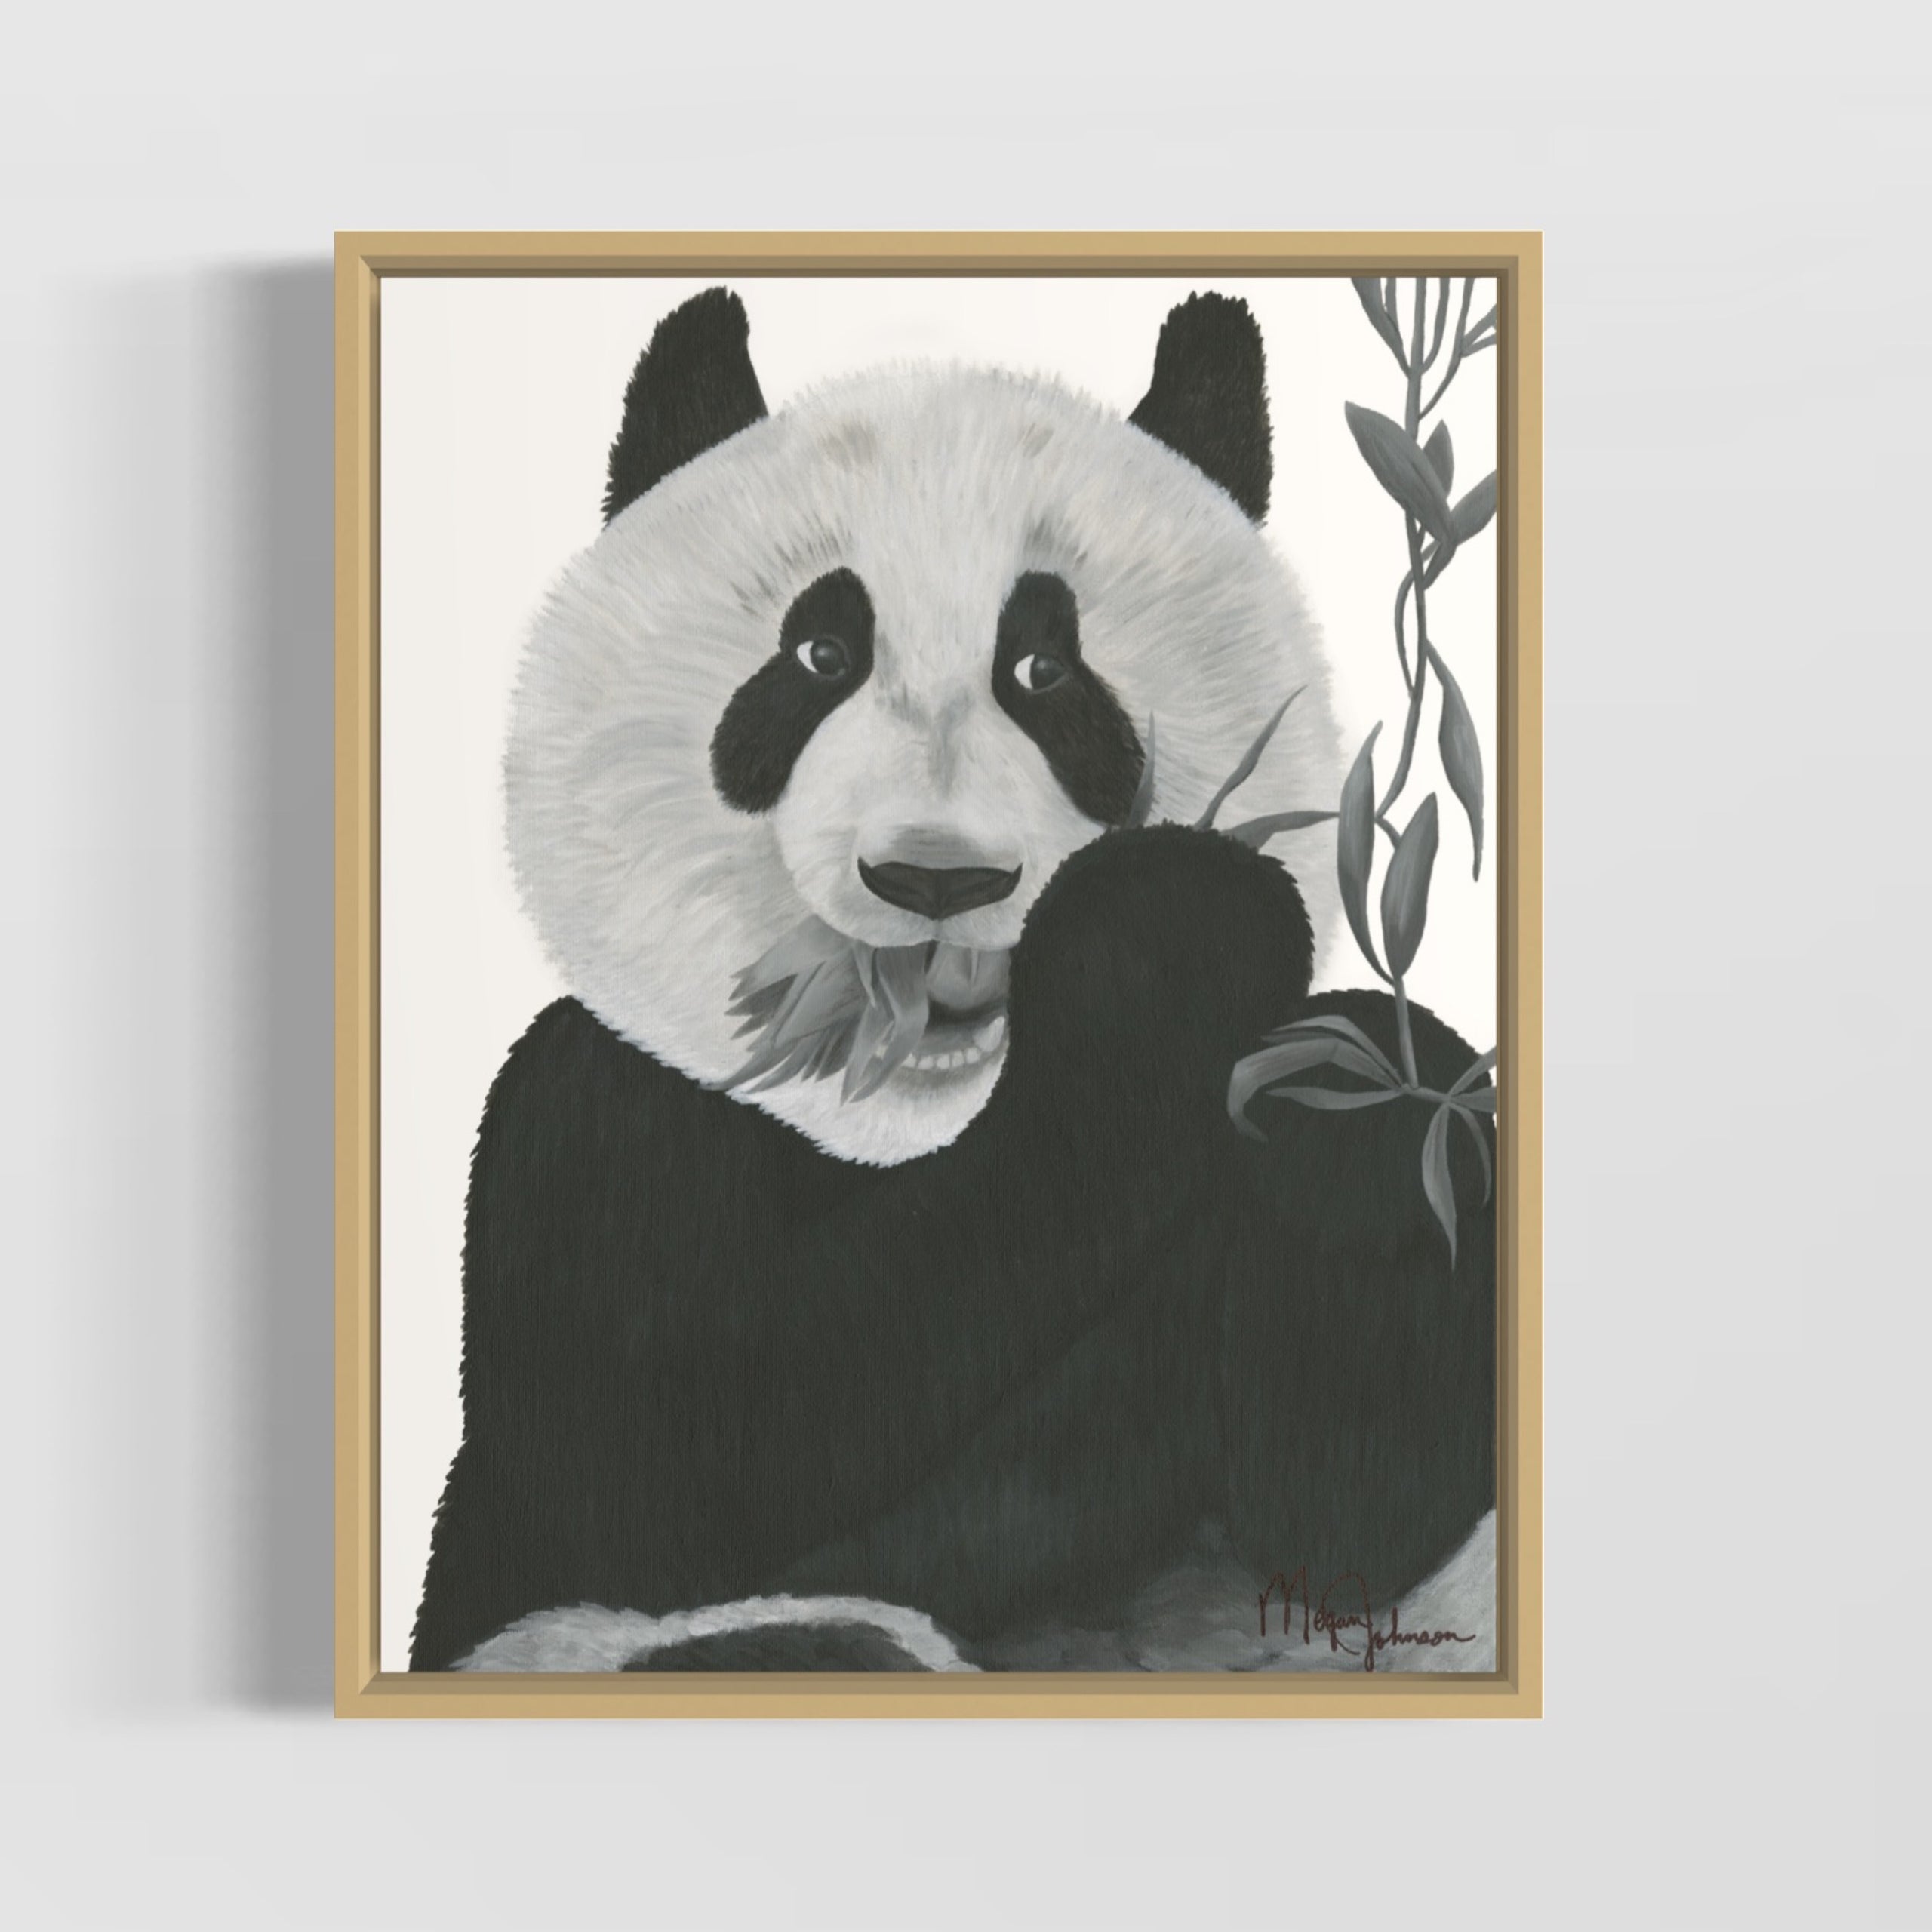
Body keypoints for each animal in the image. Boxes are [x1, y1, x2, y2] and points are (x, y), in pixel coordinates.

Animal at [409, 286, 1497, 1674]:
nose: (937, 879)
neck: (917, 1128)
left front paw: (1356, 1126)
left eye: (1046, 670)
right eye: (819, 653)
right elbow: (715, 1437)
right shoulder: (586, 1131)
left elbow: (1349, 1510)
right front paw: (1163, 934)